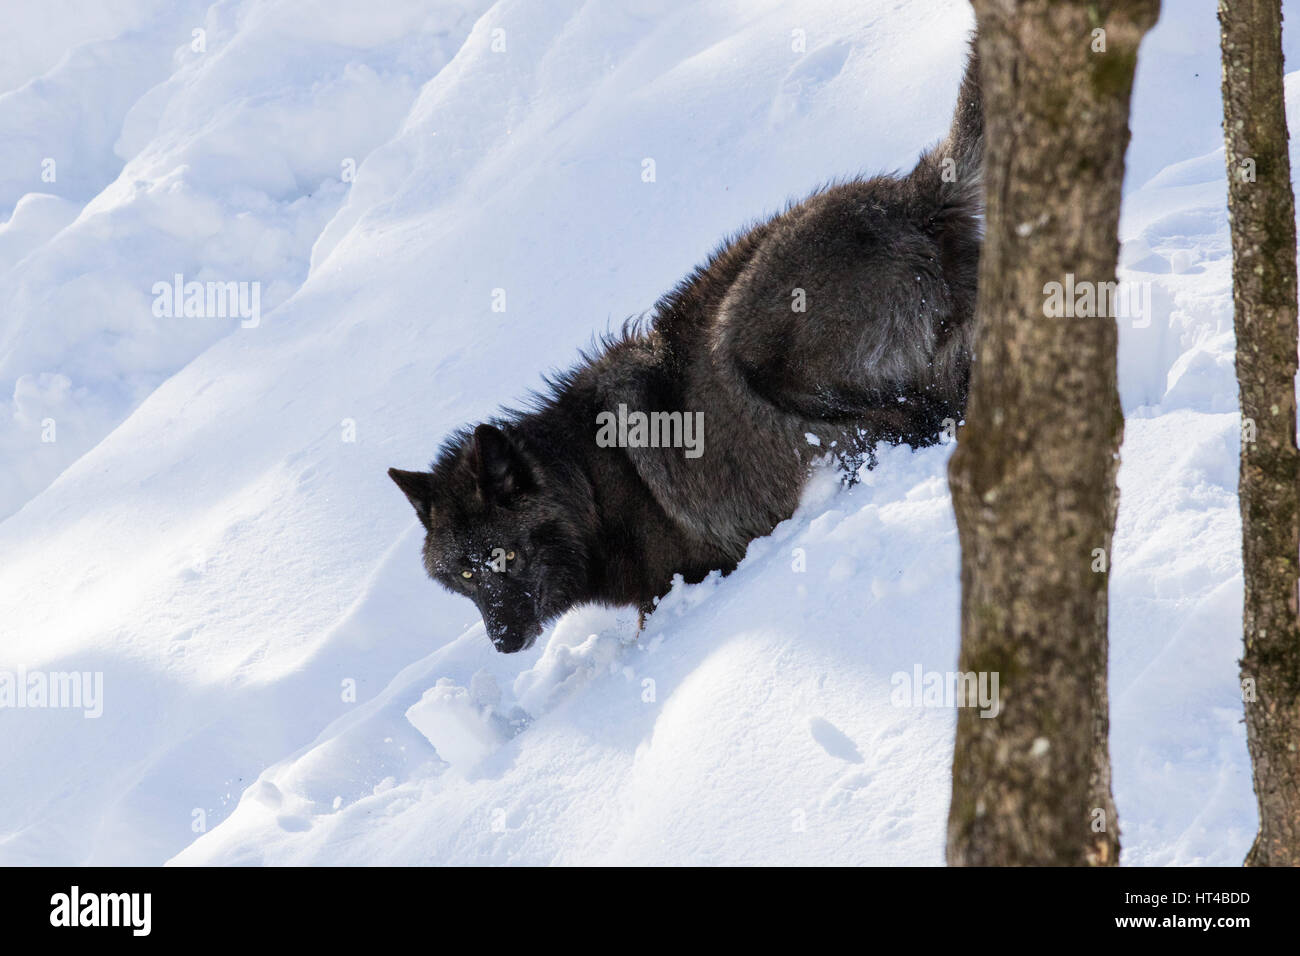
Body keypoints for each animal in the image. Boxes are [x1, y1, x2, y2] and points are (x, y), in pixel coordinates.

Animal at [390, 44, 983, 653]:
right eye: (465, 572)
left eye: (502, 555)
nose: (503, 642)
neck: (590, 482)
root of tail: (909, 197)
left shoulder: (679, 581)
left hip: (755, 354)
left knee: (915, 419)